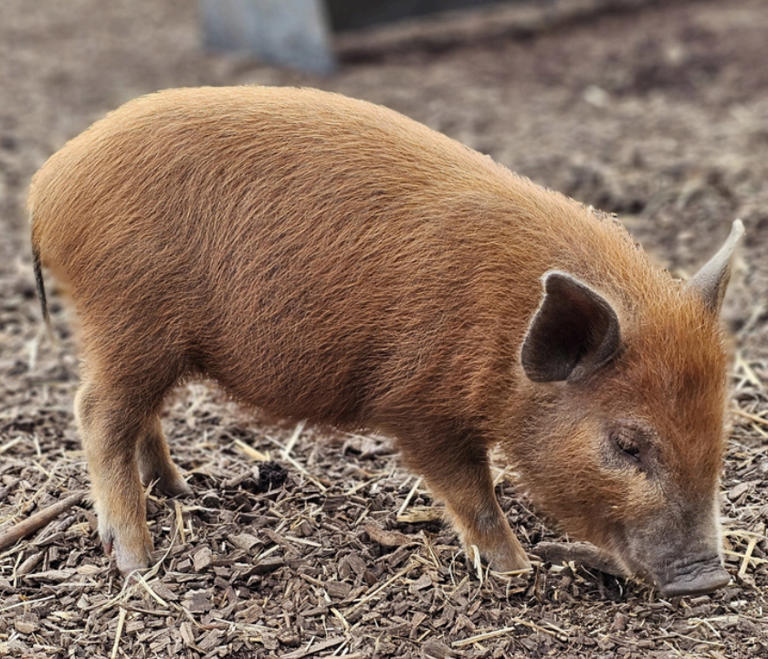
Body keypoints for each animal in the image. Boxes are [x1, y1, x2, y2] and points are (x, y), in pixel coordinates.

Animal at [28, 86, 742, 596]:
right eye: (627, 444)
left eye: (719, 427)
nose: (708, 580)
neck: (504, 330)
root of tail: (47, 185)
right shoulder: (417, 405)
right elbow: (472, 491)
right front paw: (519, 572)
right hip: (129, 320)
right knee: (97, 412)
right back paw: (138, 561)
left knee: (138, 415)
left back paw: (182, 490)